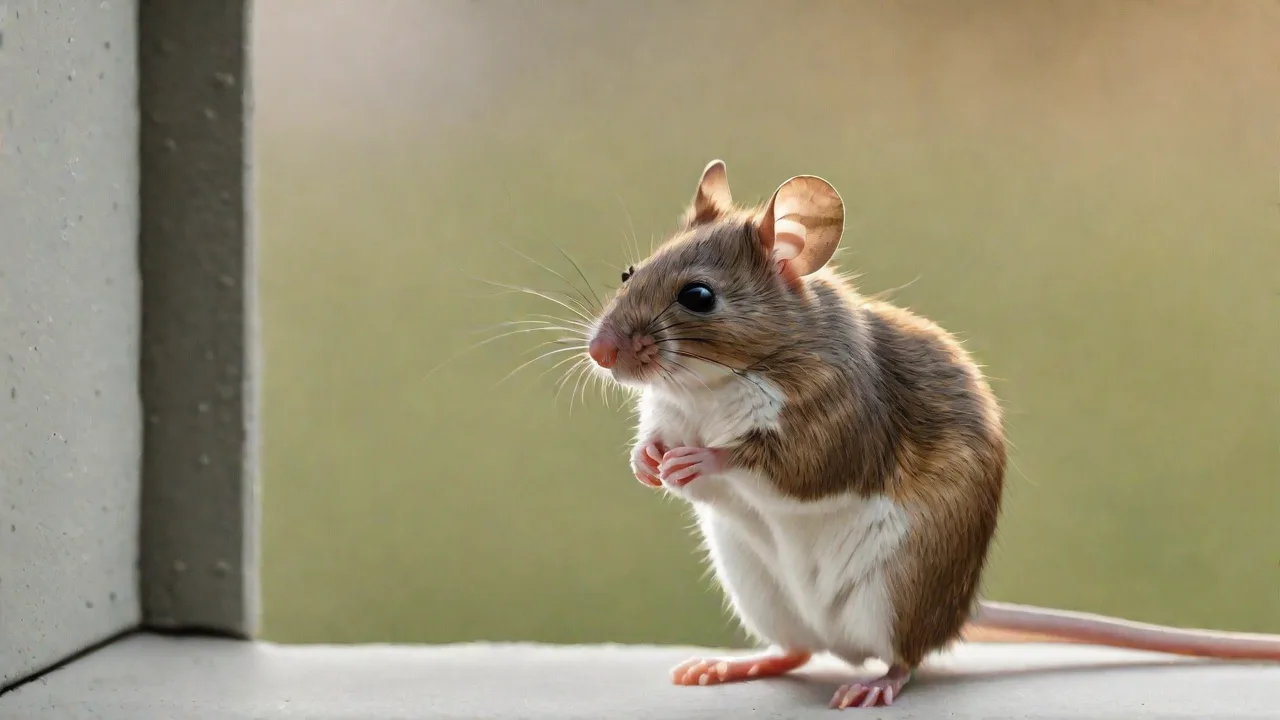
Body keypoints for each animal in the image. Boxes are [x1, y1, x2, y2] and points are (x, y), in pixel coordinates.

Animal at [581, 160, 1280, 709]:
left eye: (698, 297)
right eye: (629, 272)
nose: (598, 352)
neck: (709, 386)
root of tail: (958, 612)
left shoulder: (834, 428)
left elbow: (778, 464)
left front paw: (698, 460)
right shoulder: (667, 413)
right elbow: (656, 441)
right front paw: (647, 462)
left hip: (897, 587)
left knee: (905, 658)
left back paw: (874, 685)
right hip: (758, 588)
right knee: (798, 651)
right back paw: (731, 665)